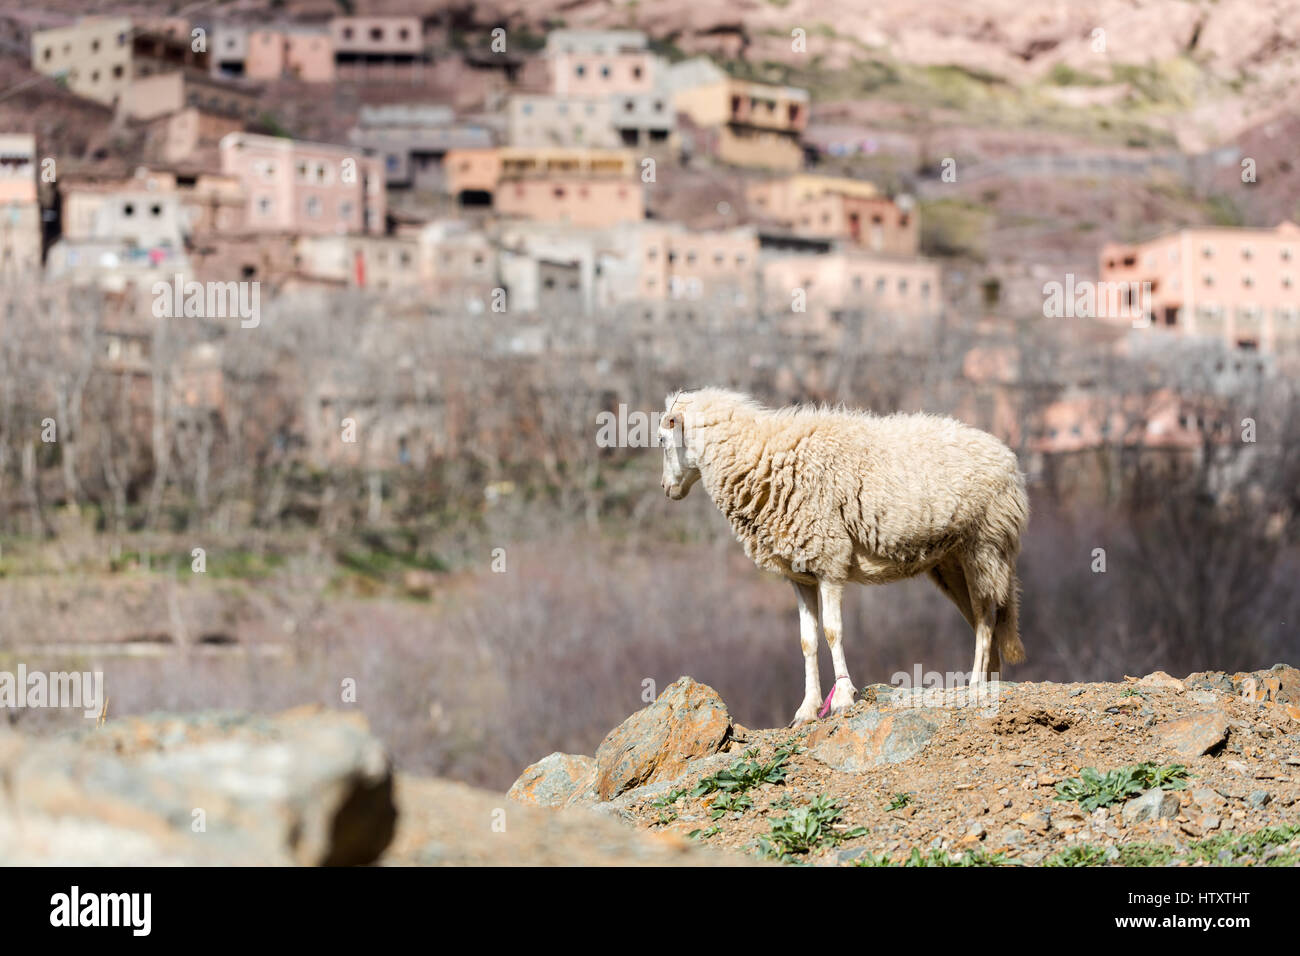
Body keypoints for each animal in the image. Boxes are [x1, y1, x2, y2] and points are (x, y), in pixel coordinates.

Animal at [658, 387, 1028, 725]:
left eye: (662, 439)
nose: (665, 489)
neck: (761, 455)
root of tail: (1008, 458)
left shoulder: (829, 560)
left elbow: (833, 631)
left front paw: (842, 699)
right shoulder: (800, 573)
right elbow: (807, 641)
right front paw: (807, 710)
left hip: (985, 546)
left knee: (985, 617)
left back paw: (977, 684)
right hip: (951, 563)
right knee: (983, 618)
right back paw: (990, 680)